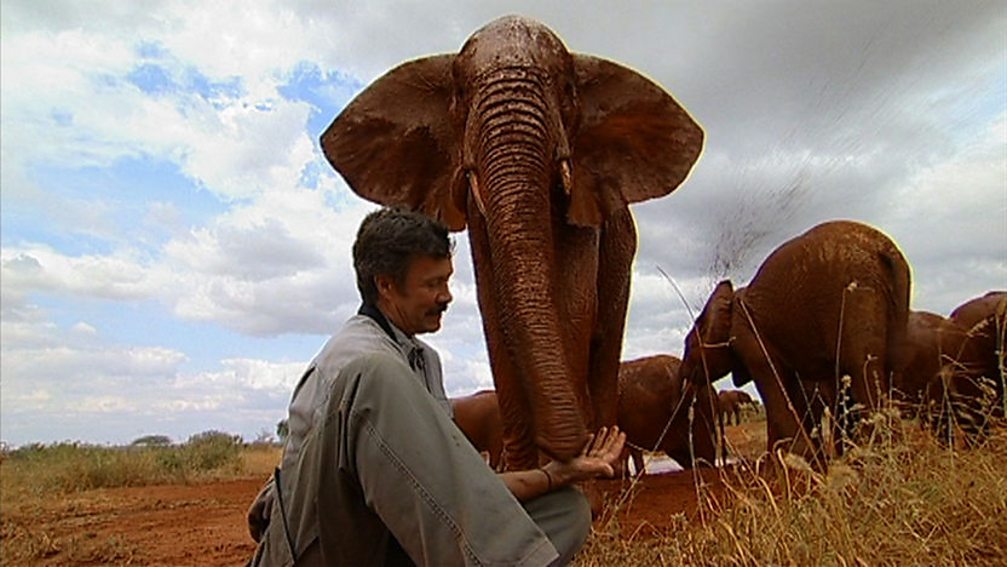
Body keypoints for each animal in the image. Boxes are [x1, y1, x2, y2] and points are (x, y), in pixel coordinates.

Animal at [320, 15, 704, 468]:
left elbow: (574, 304)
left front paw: (583, 477)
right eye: (459, 96)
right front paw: (529, 470)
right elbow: (494, 311)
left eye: (568, 90)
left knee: (605, 342)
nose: (565, 448)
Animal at [679, 220, 911, 467]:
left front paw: (797, 461)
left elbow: (774, 387)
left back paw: (876, 458)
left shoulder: (747, 337)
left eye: (687, 346)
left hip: (856, 294)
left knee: (862, 369)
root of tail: (886, 249)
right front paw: (788, 462)